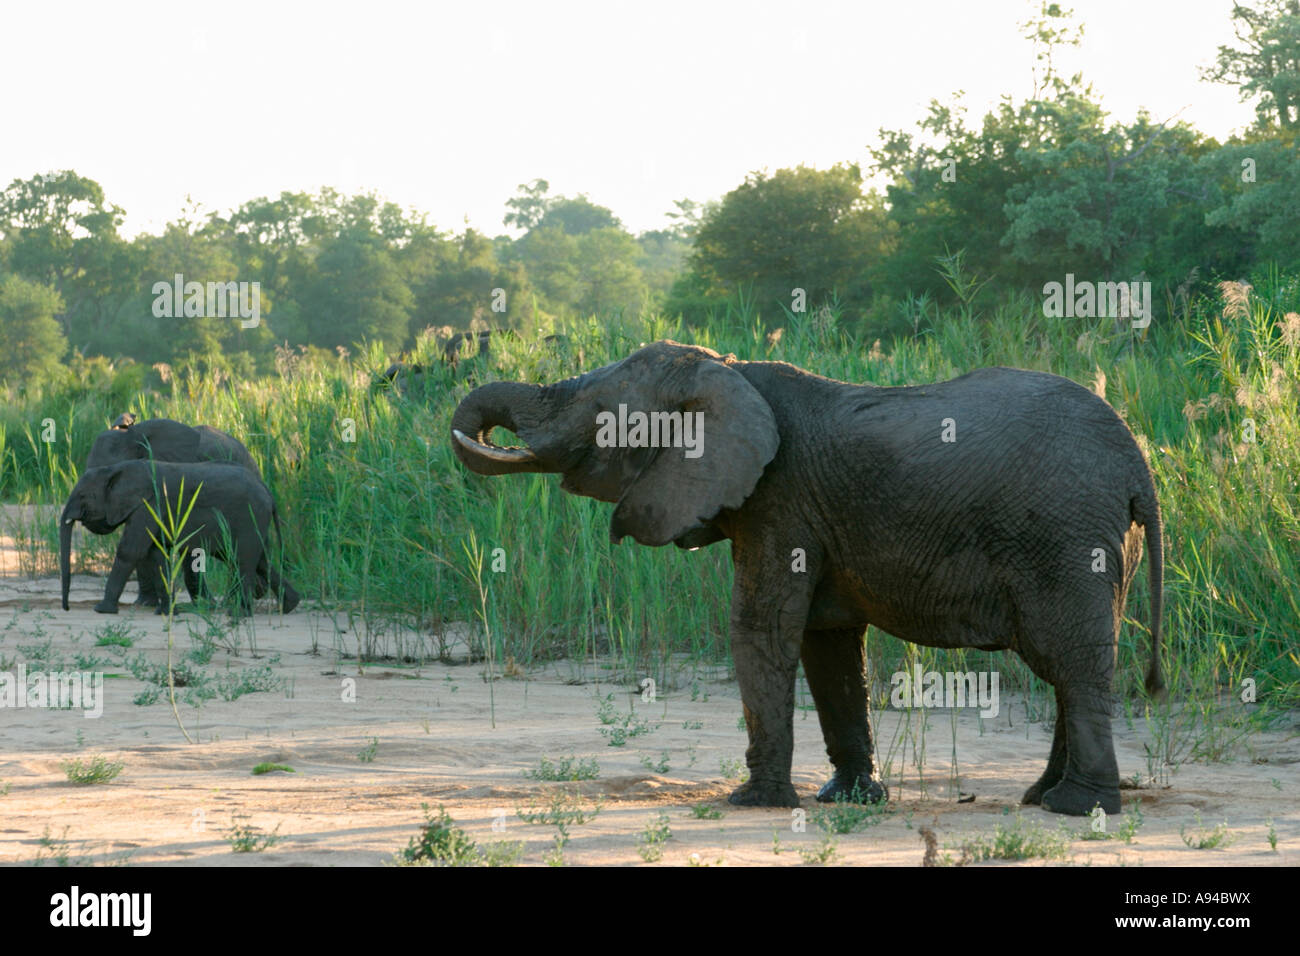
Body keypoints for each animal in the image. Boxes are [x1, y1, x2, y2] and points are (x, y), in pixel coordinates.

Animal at [60, 460, 300, 617]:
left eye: (83, 495)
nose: (66, 608)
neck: (116, 470)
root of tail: (268, 492)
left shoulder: (148, 506)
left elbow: (130, 551)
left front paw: (102, 610)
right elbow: (156, 555)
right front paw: (165, 612)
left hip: (250, 517)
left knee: (243, 560)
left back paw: (238, 614)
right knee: (260, 561)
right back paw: (289, 607)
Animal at [450, 340, 1164, 816]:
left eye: (600, 411)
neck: (728, 373)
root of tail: (1138, 464)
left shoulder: (778, 498)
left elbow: (762, 630)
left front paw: (753, 801)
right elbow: (828, 643)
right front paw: (848, 799)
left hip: (1064, 537)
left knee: (1071, 660)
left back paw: (1076, 807)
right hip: (1096, 542)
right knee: (1070, 664)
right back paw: (1041, 797)